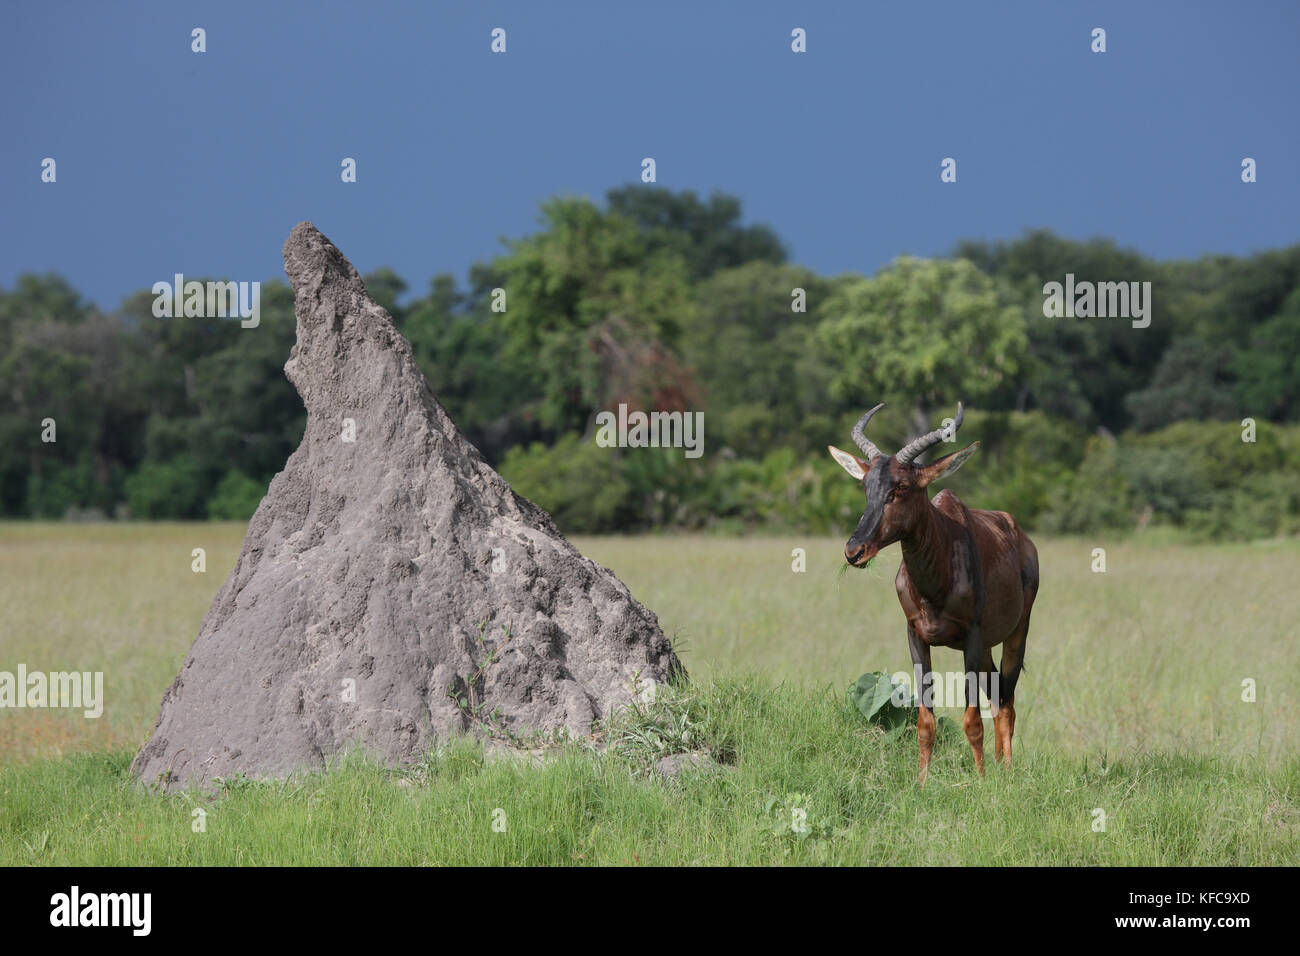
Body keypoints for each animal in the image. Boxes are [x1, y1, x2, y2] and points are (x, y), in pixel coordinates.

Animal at [829, 402, 1039, 785]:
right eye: (866, 485)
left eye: (902, 486)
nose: (854, 551)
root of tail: (1021, 537)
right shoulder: (916, 637)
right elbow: (925, 721)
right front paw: (923, 784)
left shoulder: (971, 637)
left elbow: (972, 721)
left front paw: (980, 782)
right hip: (986, 648)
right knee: (997, 695)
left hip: (1015, 634)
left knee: (1007, 704)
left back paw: (1005, 773)